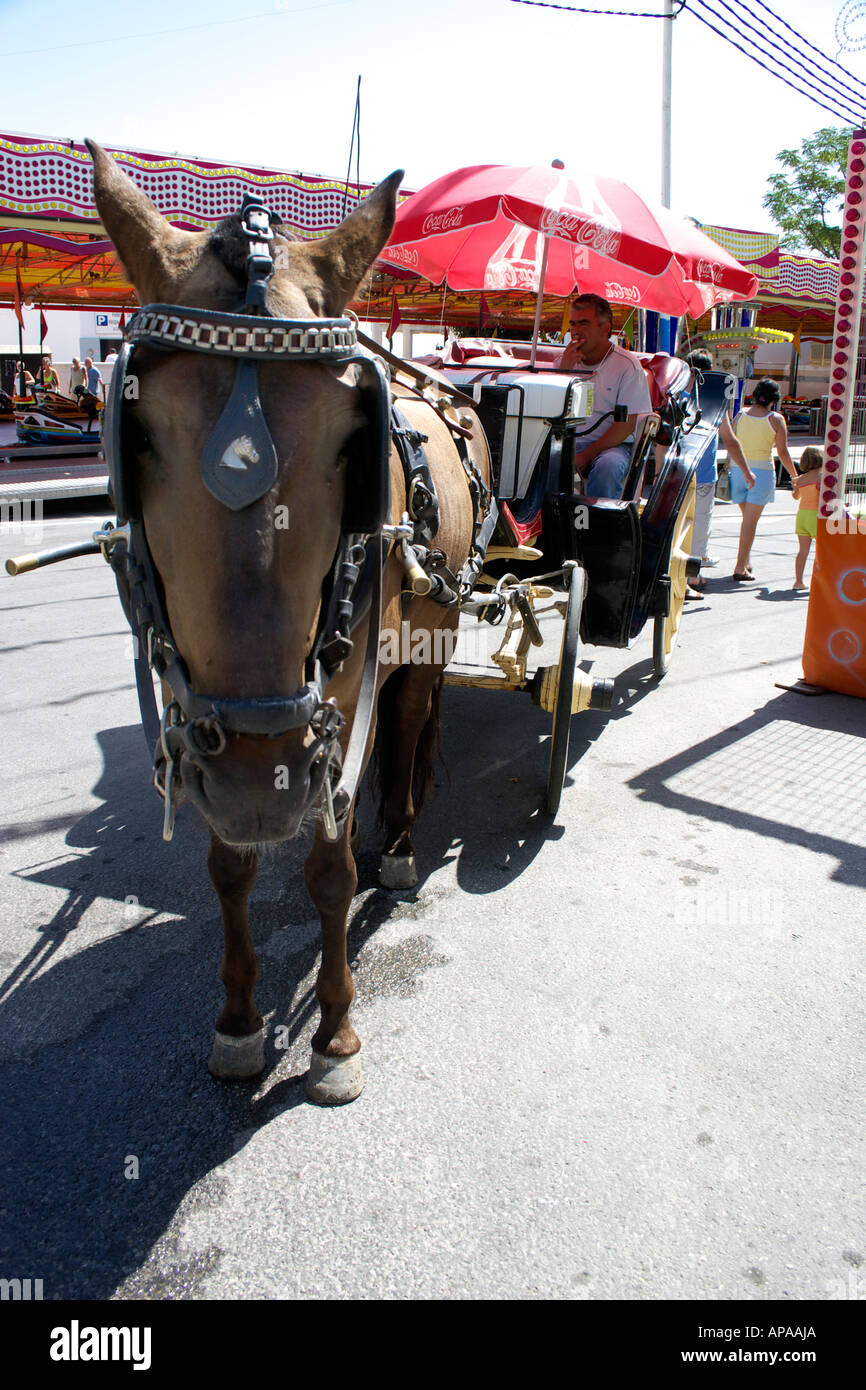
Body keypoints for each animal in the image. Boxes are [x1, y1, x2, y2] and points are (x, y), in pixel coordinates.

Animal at [86, 140, 492, 1104]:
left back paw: (402, 839)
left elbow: (327, 872)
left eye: (354, 440)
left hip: (431, 628)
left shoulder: (332, 702)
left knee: (413, 718)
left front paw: (335, 1036)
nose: (259, 787)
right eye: (136, 434)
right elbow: (230, 865)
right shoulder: (198, 709)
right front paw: (238, 1023)